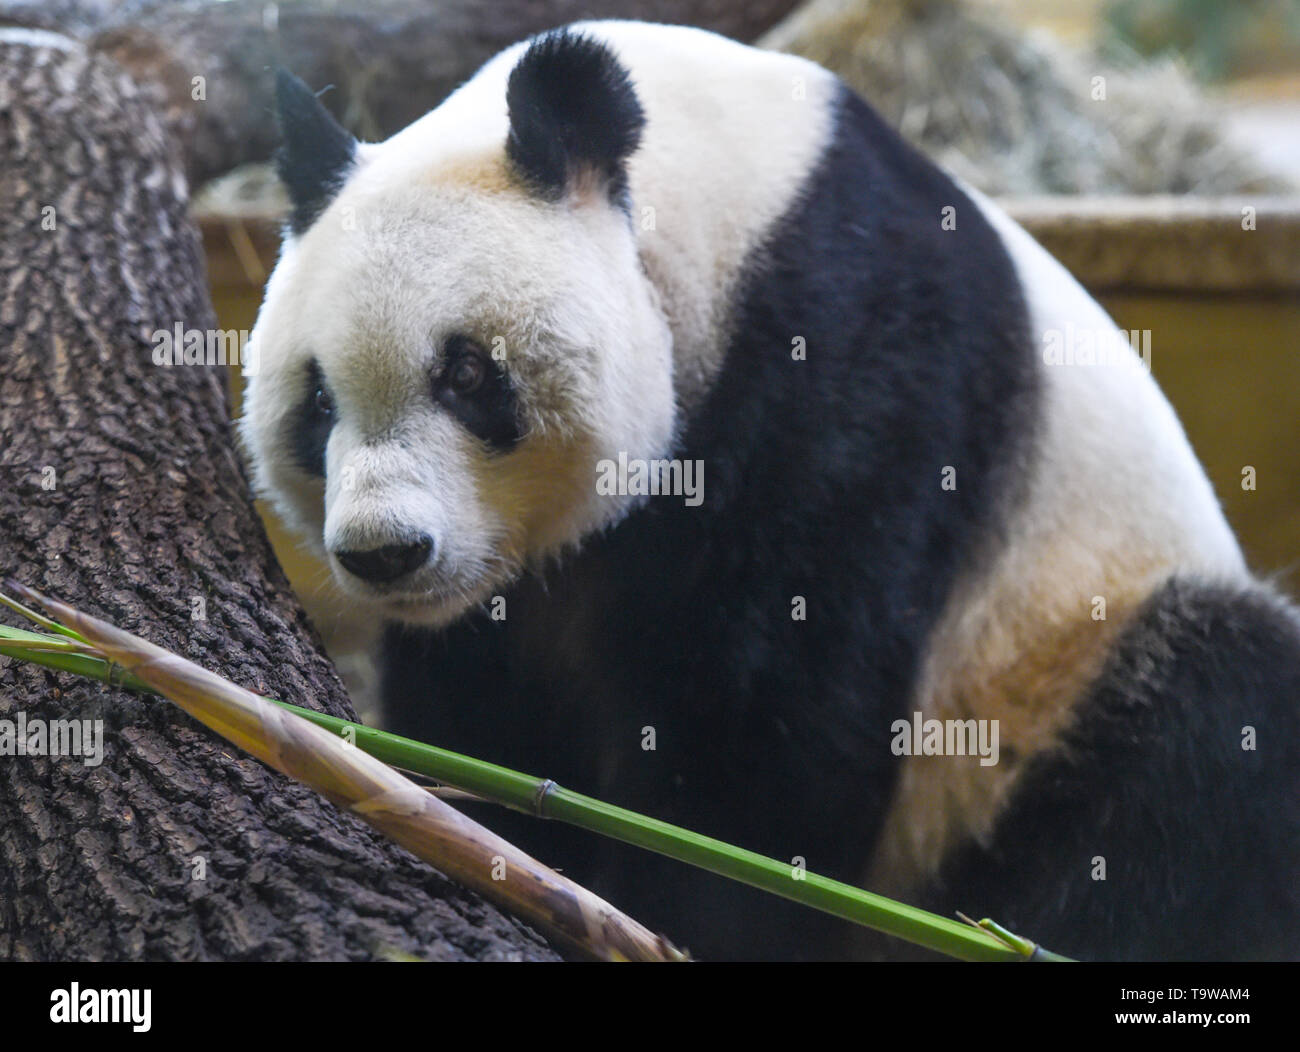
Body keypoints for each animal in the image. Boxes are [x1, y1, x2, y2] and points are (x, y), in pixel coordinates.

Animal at [241, 21, 1300, 960]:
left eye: (466, 375)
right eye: (316, 401)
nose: (385, 553)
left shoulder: (846, 354)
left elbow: (771, 702)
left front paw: (686, 911)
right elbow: (488, 707)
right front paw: (500, 835)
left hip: (1055, 660)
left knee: (1204, 740)